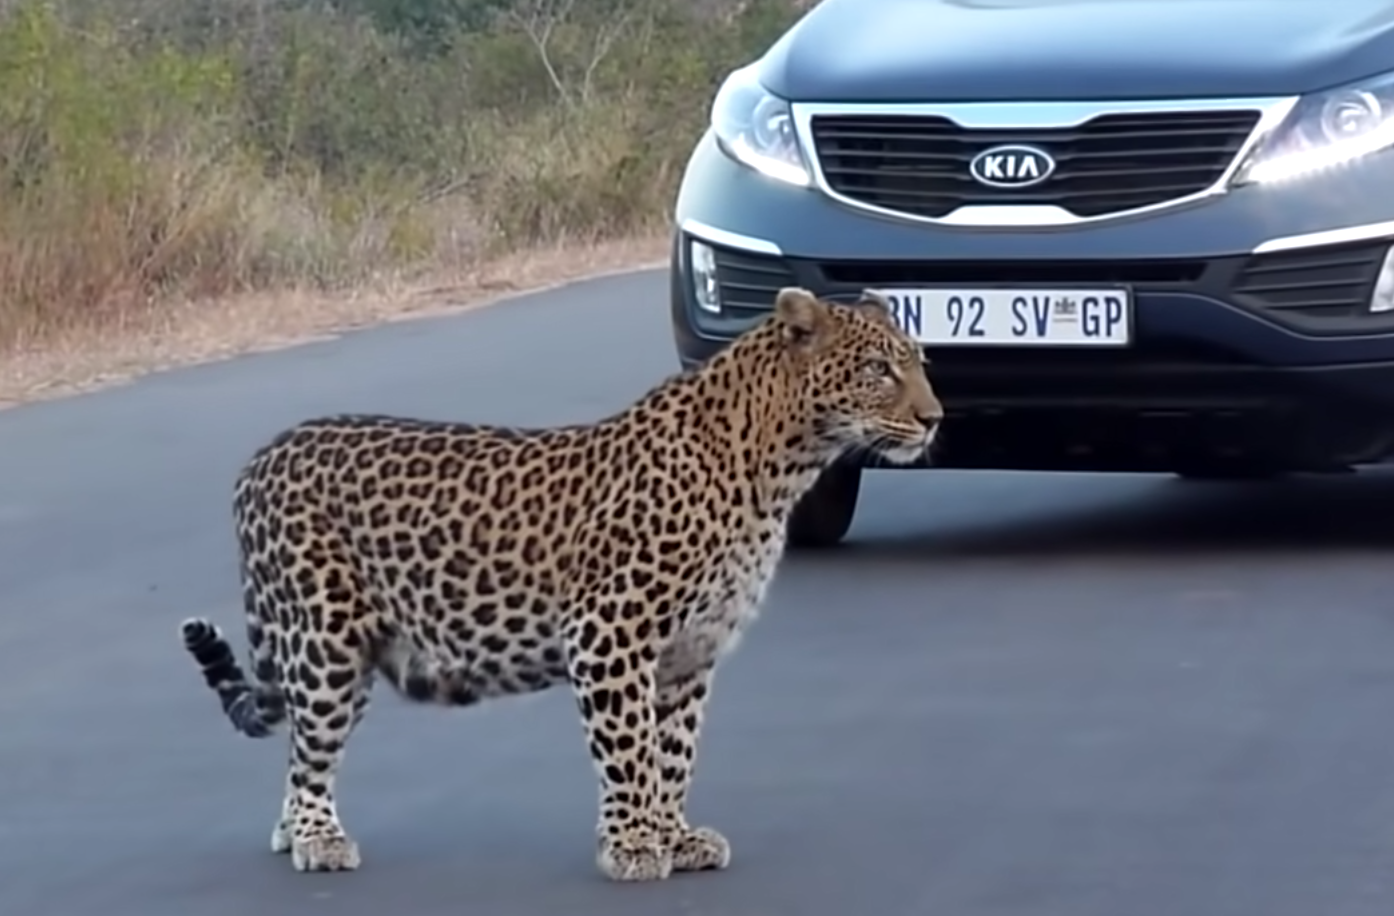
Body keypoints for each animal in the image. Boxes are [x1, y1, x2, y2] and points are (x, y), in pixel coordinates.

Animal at [179, 285, 943, 880]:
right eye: (878, 369)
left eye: (920, 364)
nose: (934, 418)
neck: (778, 466)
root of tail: (264, 454)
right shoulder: (611, 634)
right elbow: (630, 750)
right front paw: (632, 846)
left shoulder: (690, 653)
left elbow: (675, 751)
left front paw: (673, 836)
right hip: (325, 642)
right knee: (311, 749)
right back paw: (318, 837)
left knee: (301, 749)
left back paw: (294, 831)